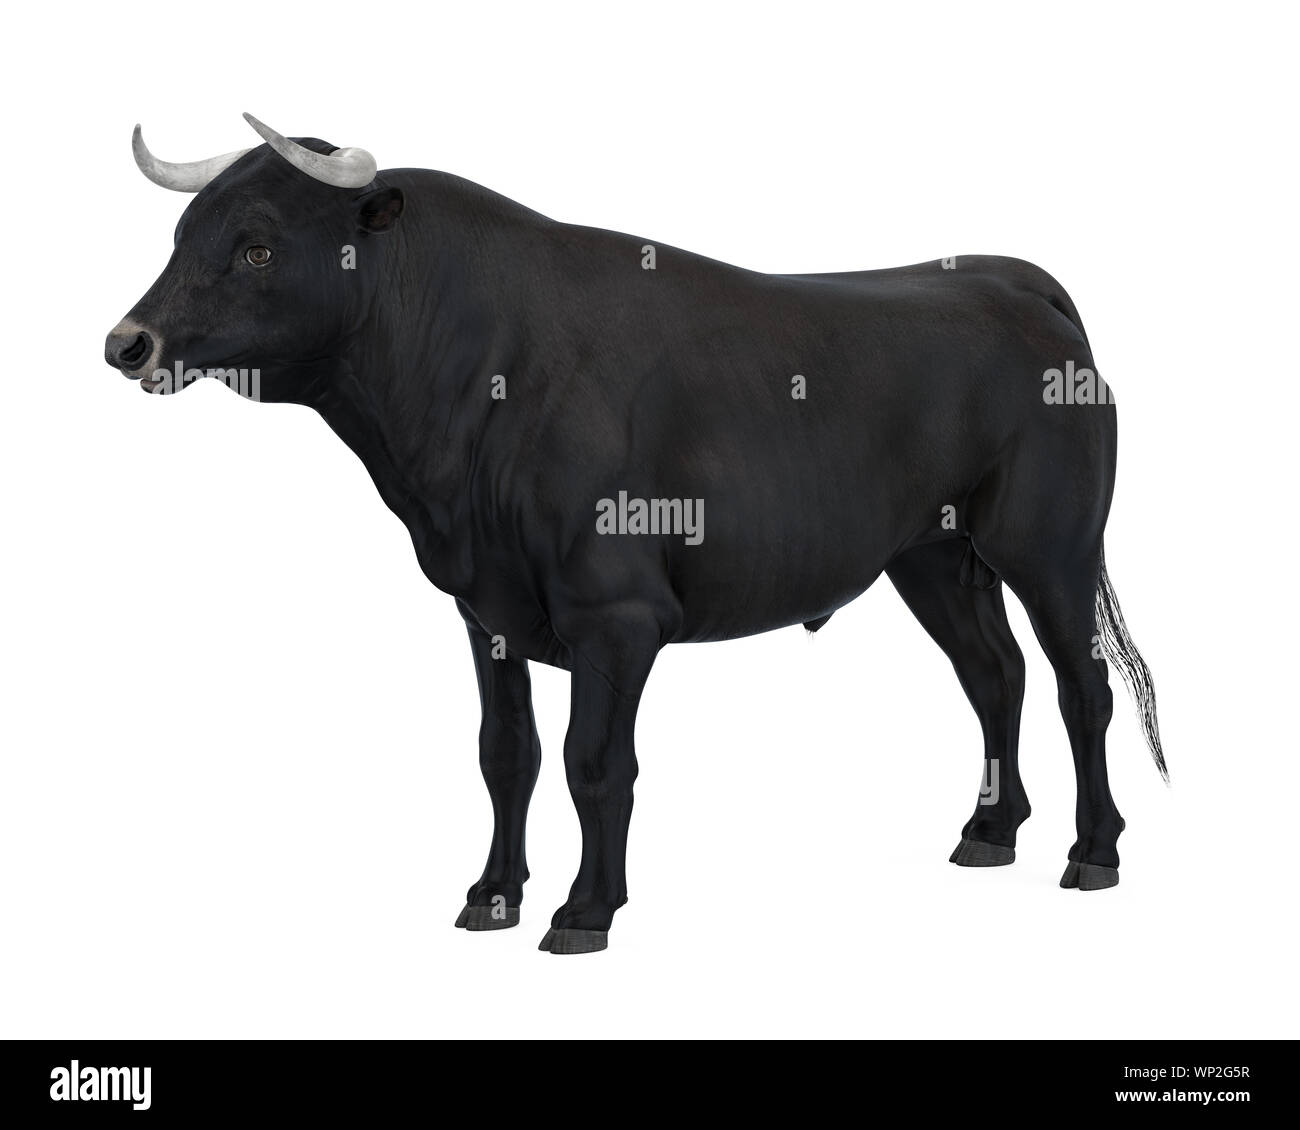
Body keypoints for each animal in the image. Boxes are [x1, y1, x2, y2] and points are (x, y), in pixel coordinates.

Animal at [105, 115, 1165, 954]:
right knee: (994, 673)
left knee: (1079, 685)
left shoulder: (614, 615)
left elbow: (594, 764)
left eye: (257, 248)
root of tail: (1005, 279)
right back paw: (990, 833)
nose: (127, 343)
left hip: (1051, 548)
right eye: (183, 236)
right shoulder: (485, 609)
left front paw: (585, 911)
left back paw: (1092, 851)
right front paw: (492, 895)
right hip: (934, 556)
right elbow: (507, 755)